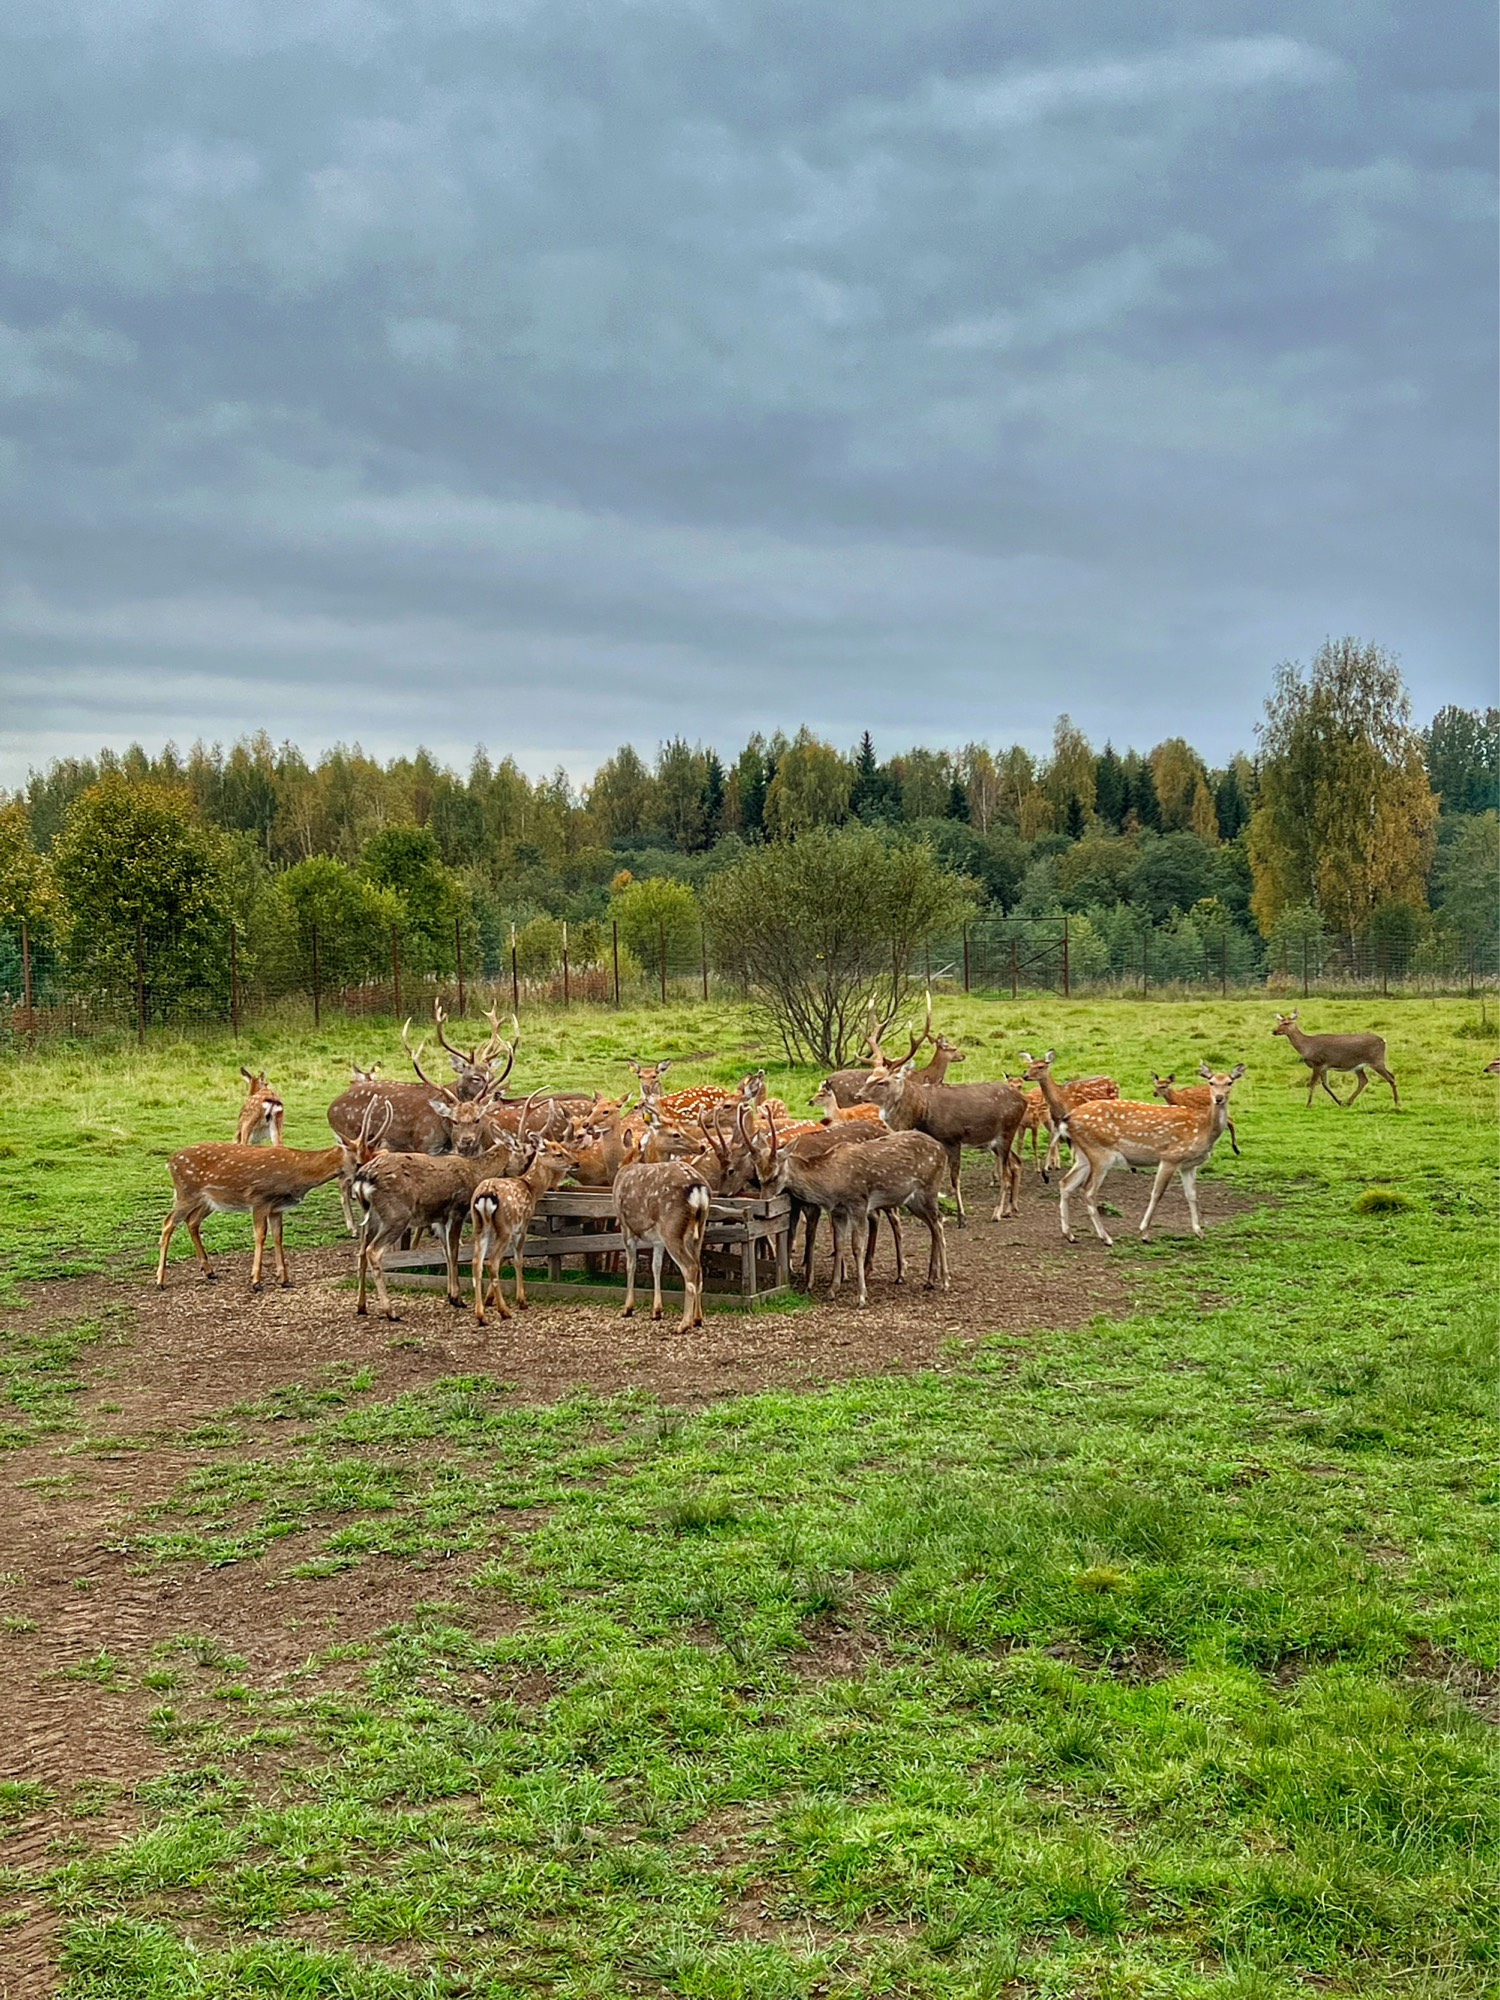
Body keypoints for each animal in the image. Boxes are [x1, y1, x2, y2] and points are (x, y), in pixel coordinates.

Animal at [159, 1096, 390, 1296]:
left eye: (371, 1158)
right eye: (359, 1162)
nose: (370, 1180)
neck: (296, 1175)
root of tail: (170, 1162)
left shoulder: (277, 1208)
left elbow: (278, 1237)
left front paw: (284, 1279)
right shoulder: (260, 1200)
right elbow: (260, 1235)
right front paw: (256, 1282)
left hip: (207, 1201)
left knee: (192, 1222)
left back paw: (209, 1271)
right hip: (186, 1192)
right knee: (168, 1223)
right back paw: (161, 1281)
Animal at [472, 1144, 580, 1328]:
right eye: (559, 1154)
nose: (576, 1163)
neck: (531, 1188)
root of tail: (486, 1193)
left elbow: (505, 1259)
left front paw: (489, 1299)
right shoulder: (522, 1226)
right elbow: (518, 1260)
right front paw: (522, 1301)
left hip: (480, 1226)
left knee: (477, 1262)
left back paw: (481, 1315)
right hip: (505, 1226)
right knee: (491, 1262)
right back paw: (504, 1311)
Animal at [1032, 1048, 1248, 1248]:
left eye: (1230, 1082)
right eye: (1211, 1082)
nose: (1218, 1098)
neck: (1202, 1129)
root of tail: (1067, 1118)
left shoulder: (1188, 1165)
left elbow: (1192, 1195)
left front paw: (1200, 1232)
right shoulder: (1170, 1157)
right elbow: (1157, 1193)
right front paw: (1144, 1233)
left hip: (1082, 1154)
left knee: (1066, 1183)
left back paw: (1069, 1234)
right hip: (1101, 1153)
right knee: (1087, 1191)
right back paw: (1106, 1238)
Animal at [1272, 1016, 1408, 1112]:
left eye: (1286, 1023)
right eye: (1279, 1022)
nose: (1274, 1031)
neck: (1306, 1047)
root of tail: (1383, 1041)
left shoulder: (1318, 1063)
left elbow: (1312, 1084)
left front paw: (1308, 1104)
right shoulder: (1324, 1067)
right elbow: (1325, 1084)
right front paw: (1340, 1102)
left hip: (1376, 1060)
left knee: (1390, 1078)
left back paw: (1397, 1103)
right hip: (1360, 1066)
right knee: (1365, 1080)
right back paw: (1348, 1102)